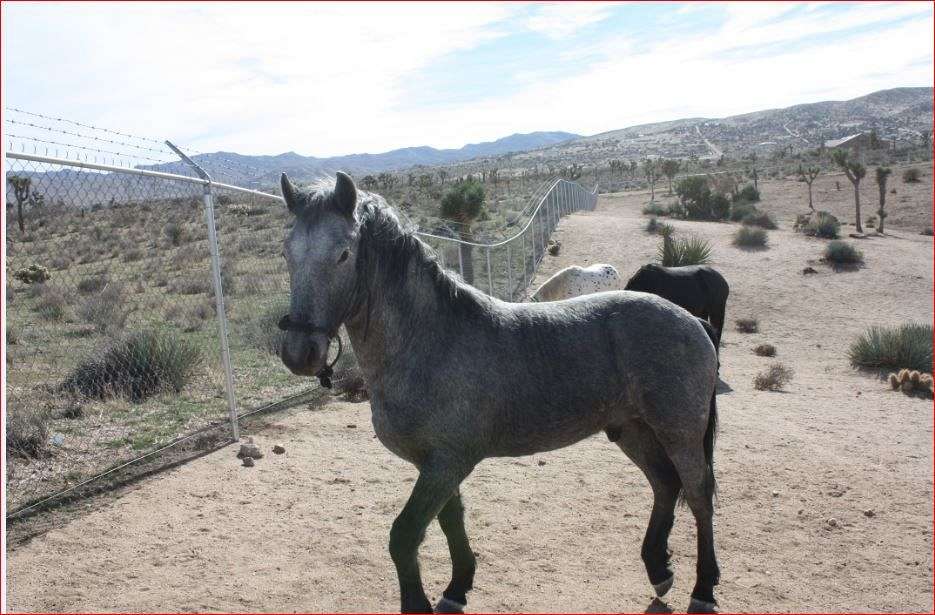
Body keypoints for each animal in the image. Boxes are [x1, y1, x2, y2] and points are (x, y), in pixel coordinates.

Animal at [277, 172, 721, 614]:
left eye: (343, 254)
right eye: (287, 253)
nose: (300, 352)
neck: (432, 340)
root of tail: (692, 320)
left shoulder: (447, 463)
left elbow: (404, 535)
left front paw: (421, 601)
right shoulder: (436, 464)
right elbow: (450, 521)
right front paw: (457, 587)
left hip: (679, 433)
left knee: (698, 494)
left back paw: (703, 588)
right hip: (632, 430)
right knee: (665, 484)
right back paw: (659, 570)